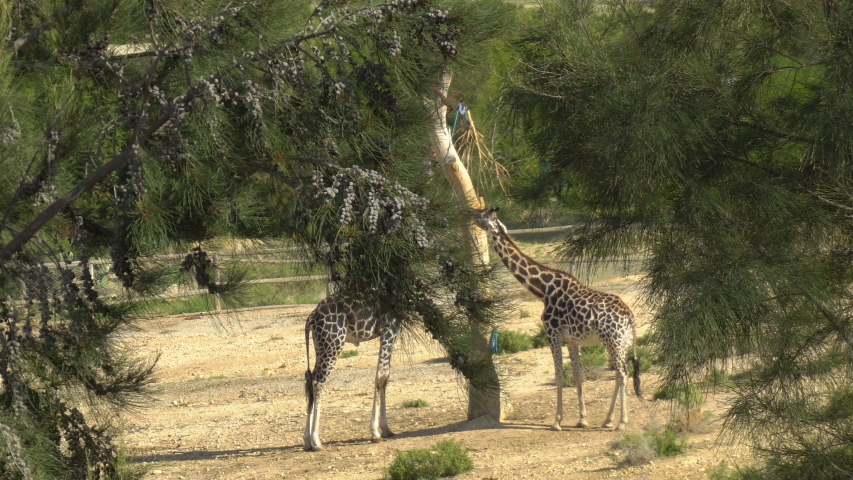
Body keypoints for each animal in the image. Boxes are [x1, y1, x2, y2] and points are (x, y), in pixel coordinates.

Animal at [303, 294, 401, 451]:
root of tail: (312, 317)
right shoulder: (390, 329)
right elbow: (381, 376)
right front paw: (375, 433)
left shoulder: (386, 332)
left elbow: (385, 377)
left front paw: (386, 429)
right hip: (333, 346)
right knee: (318, 382)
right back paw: (316, 441)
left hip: (320, 347)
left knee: (310, 379)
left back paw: (307, 440)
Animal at [474, 207, 642, 431]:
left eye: (481, 215)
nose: (469, 216)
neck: (544, 289)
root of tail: (629, 316)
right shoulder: (571, 340)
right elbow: (578, 374)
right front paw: (582, 420)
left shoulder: (551, 335)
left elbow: (559, 375)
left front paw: (556, 422)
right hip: (622, 342)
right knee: (618, 373)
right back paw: (607, 420)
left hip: (612, 340)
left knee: (622, 373)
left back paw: (621, 422)